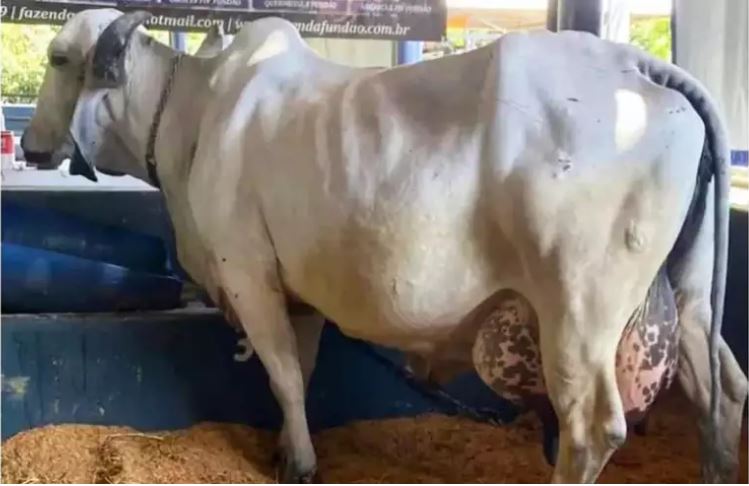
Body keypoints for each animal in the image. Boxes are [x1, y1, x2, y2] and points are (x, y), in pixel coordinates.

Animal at [21, 9, 747, 483]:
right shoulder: (297, 291)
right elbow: (300, 370)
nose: (29, 143)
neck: (194, 118)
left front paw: (302, 464)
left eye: (58, 59)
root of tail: (637, 63)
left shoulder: (248, 271)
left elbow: (282, 374)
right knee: (722, 390)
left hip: (578, 308)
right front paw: (286, 453)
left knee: (592, 426)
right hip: (687, 298)